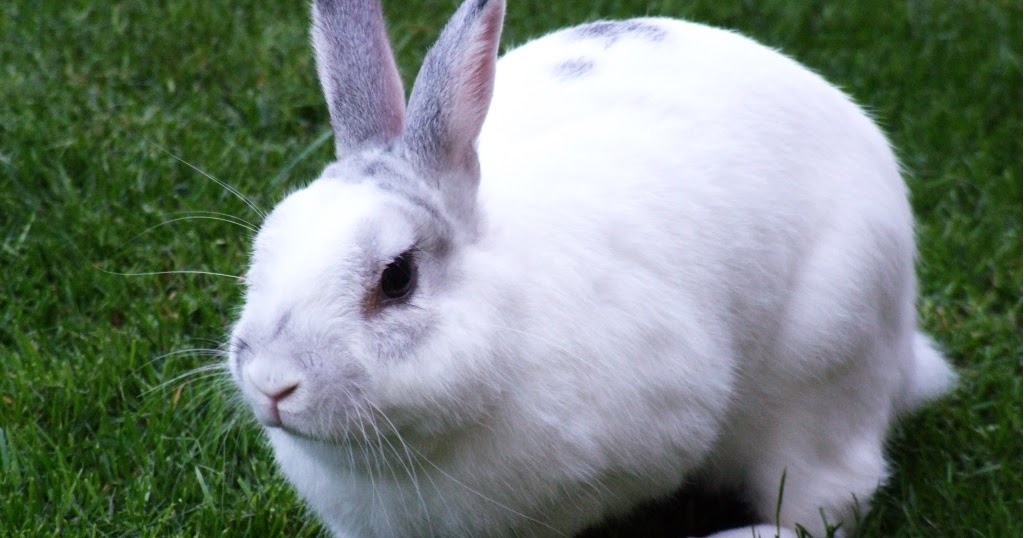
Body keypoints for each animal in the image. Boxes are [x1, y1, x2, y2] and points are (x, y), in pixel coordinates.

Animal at [226, 0, 956, 536]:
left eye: (398, 277)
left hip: (825, 372)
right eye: (267, 244)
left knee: (829, 500)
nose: (273, 383)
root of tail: (902, 348)